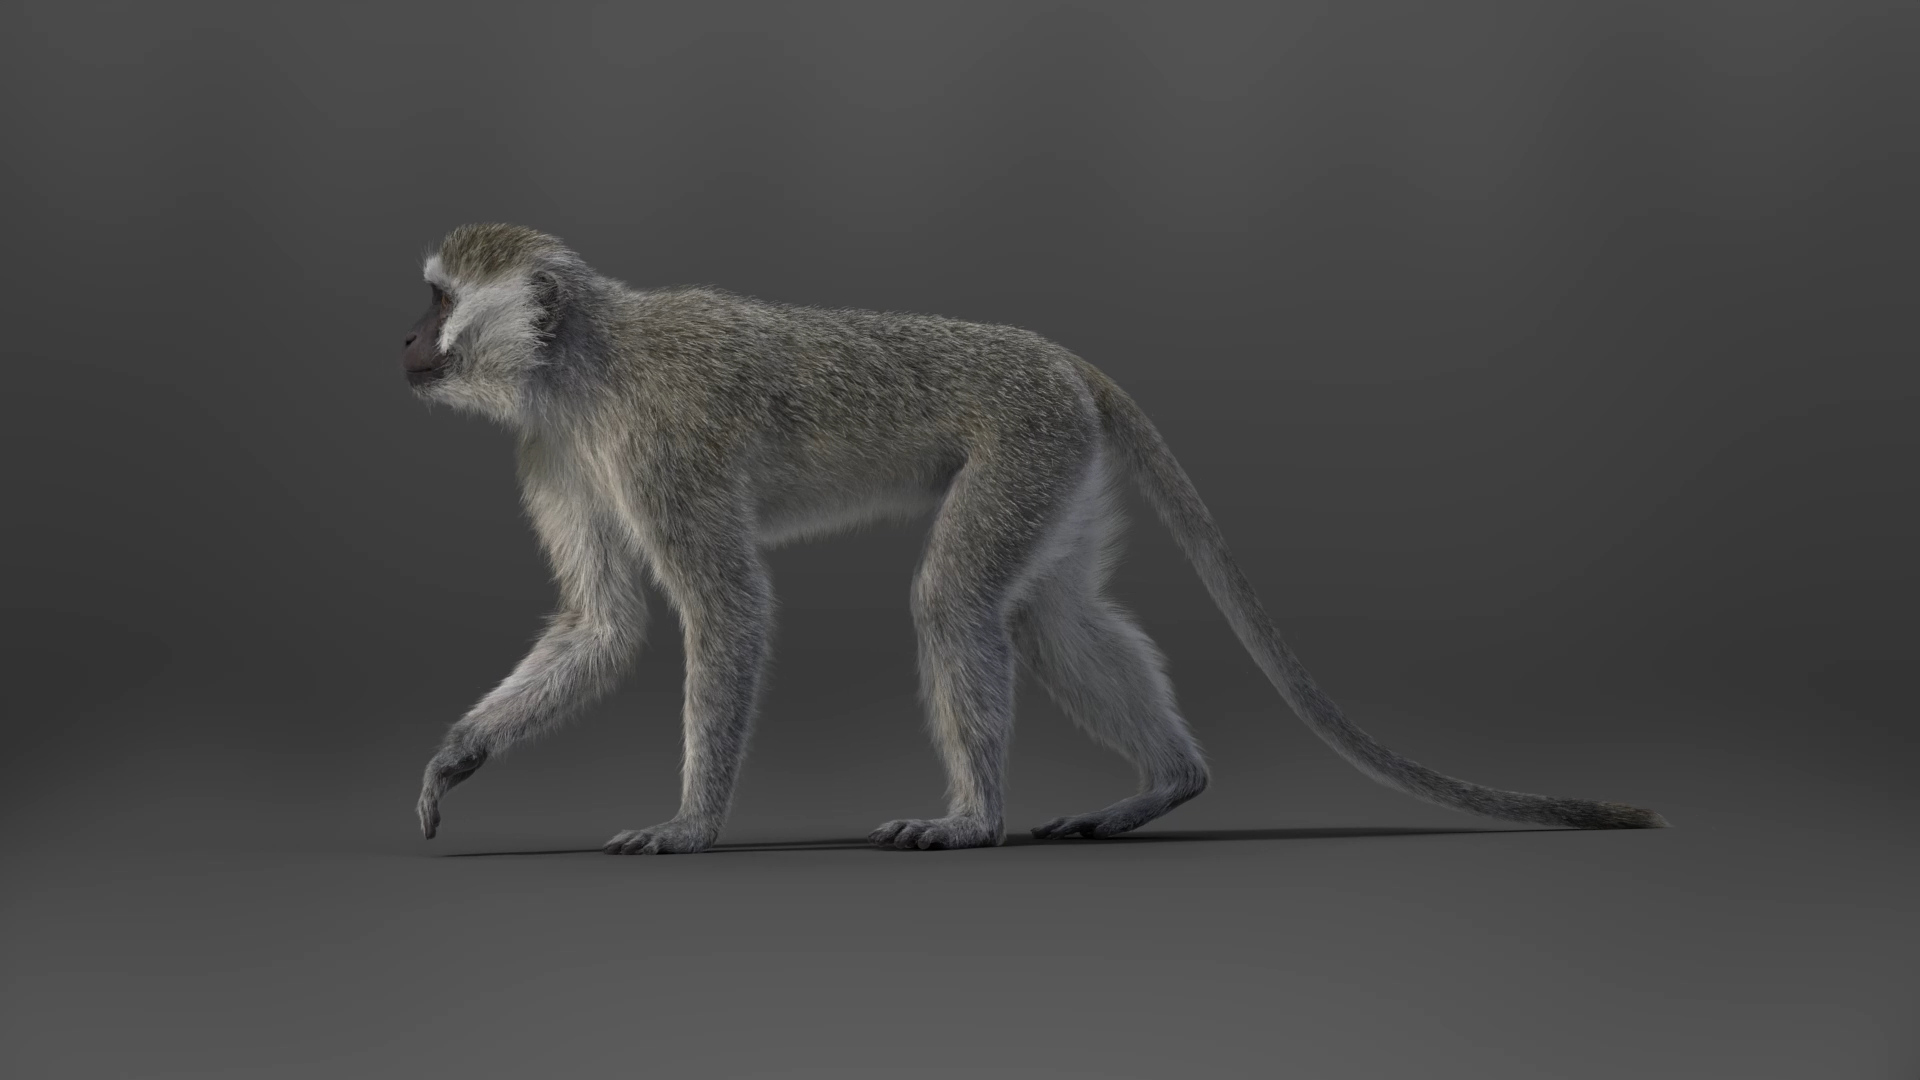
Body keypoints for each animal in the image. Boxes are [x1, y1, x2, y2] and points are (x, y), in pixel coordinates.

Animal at [404, 222, 1668, 854]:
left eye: (435, 301)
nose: (403, 340)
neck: (583, 365)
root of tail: (1062, 356)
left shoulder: (660, 443)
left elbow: (726, 613)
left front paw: (692, 825)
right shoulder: (554, 450)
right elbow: (605, 624)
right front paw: (458, 755)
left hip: (1027, 436)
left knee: (958, 603)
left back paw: (976, 821)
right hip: (1066, 463)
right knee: (1055, 611)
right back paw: (1166, 784)